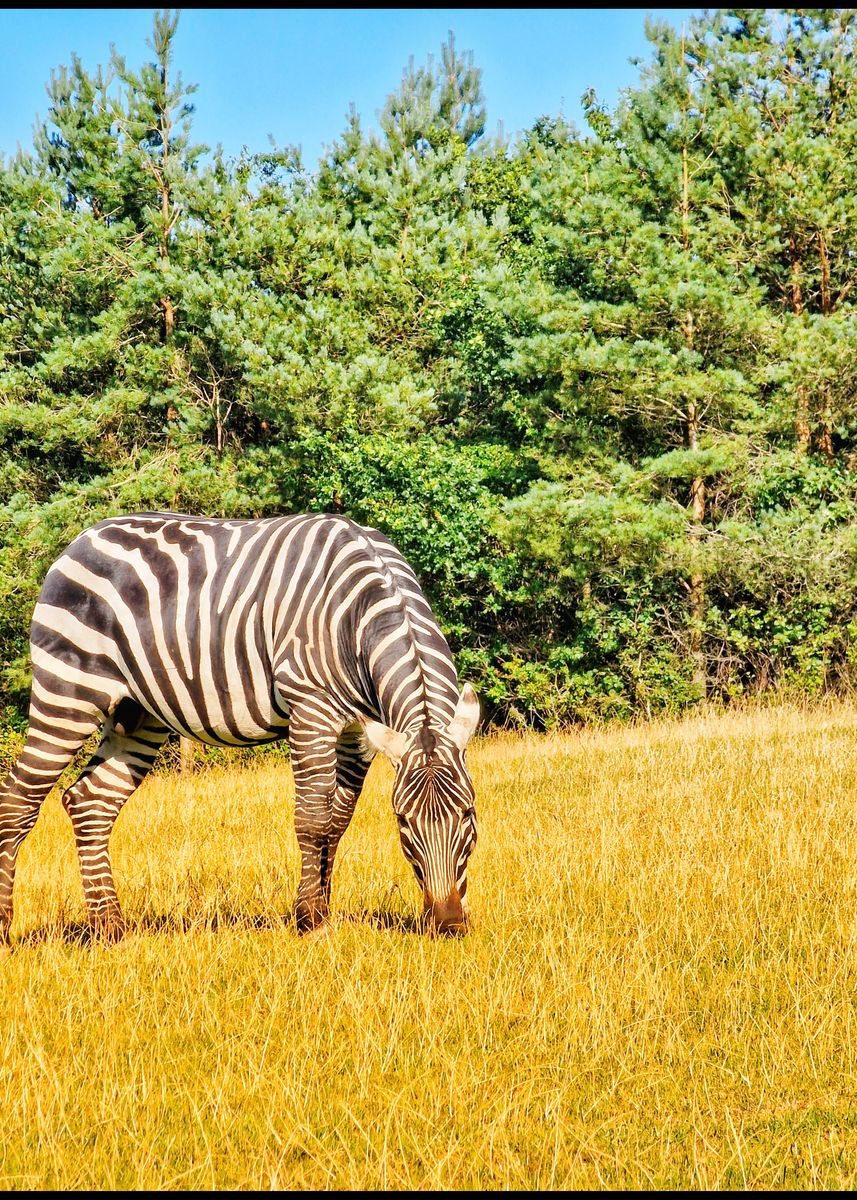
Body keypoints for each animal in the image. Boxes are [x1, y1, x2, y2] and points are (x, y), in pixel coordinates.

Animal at [0, 511, 480, 945]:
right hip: (67, 692)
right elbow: (312, 820)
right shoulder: (312, 711)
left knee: (89, 801)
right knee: (18, 799)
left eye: (469, 813)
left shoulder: (358, 733)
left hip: (137, 712)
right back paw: (7, 928)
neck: (360, 609)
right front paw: (312, 922)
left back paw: (109, 929)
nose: (447, 925)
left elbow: (338, 820)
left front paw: (321, 908)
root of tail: (83, 537)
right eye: (403, 821)